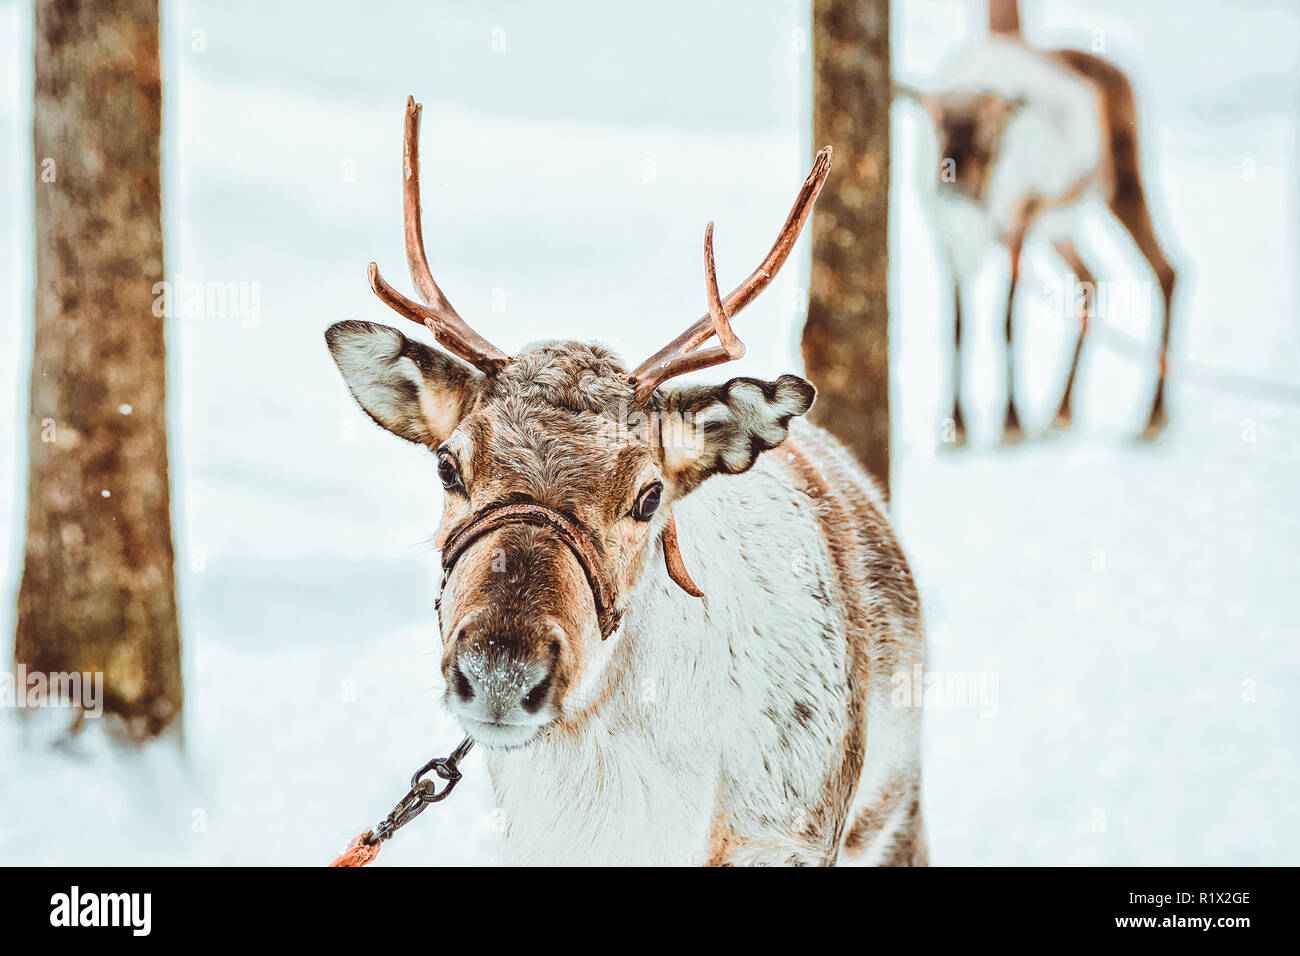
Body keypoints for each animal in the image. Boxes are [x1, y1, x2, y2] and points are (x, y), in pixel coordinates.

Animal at [914, 0, 1179, 444]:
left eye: (990, 139)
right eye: (939, 128)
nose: (954, 189)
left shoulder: (1019, 223)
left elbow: (1005, 321)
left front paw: (1011, 421)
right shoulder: (948, 239)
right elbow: (957, 325)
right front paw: (958, 425)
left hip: (1121, 184)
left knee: (1166, 270)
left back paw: (1152, 417)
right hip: (1060, 227)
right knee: (1092, 279)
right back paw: (1062, 411)